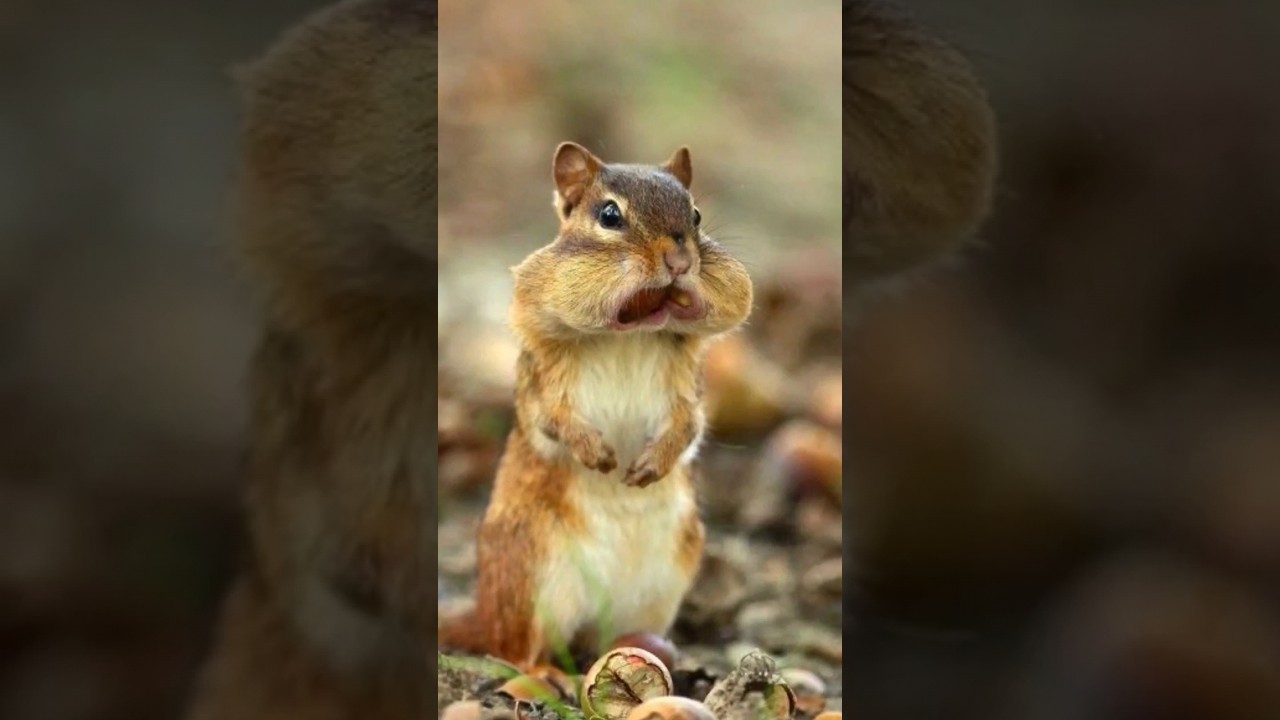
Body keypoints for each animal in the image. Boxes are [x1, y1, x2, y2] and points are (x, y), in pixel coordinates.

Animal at [437, 142, 753, 667]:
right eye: (609, 216)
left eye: (695, 214)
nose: (680, 259)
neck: (628, 337)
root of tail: (484, 613)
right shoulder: (545, 381)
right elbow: (554, 418)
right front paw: (596, 453)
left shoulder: (686, 387)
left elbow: (689, 425)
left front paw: (652, 464)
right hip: (533, 582)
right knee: (518, 651)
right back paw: (546, 672)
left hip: (658, 593)